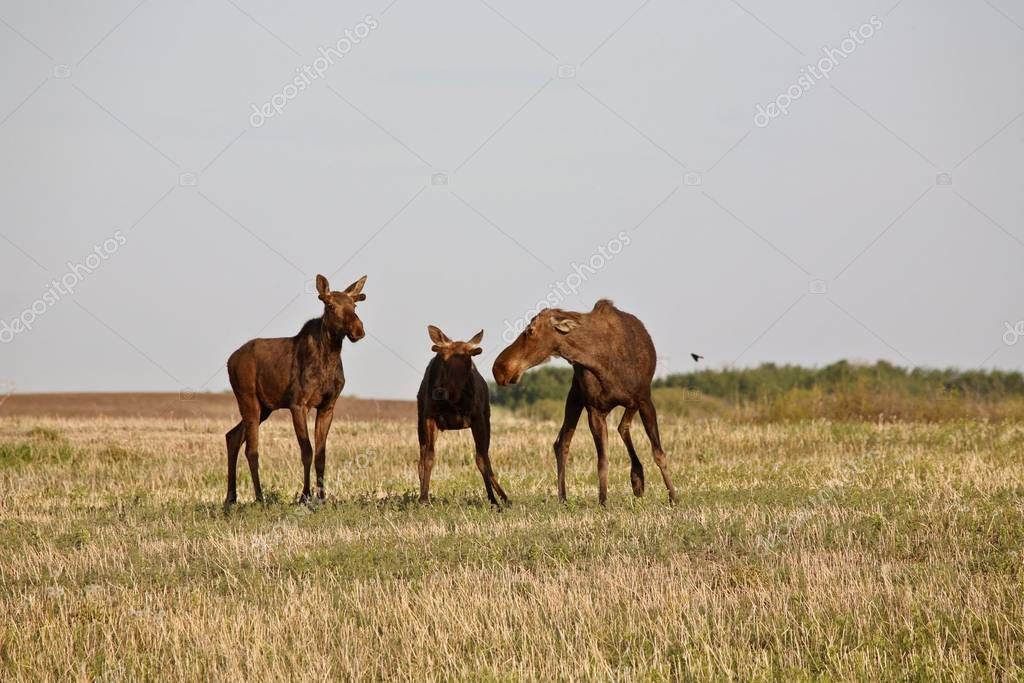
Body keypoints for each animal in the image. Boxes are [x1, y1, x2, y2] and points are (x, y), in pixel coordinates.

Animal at [224, 274, 367, 505]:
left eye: (354, 305)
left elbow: (321, 454)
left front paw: (322, 498)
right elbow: (306, 451)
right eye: (330, 305)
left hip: (265, 408)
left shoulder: (327, 406)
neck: (329, 357)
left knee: (232, 436)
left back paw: (231, 498)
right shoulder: (298, 404)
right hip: (248, 399)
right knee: (252, 449)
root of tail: (229, 361)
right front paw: (304, 496)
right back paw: (259, 498)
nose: (358, 329)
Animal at [417, 326, 509, 506]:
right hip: (420, 423)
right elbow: (429, 457)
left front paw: (496, 499)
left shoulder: (478, 418)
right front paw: (424, 498)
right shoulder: (429, 416)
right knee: (421, 457)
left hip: (487, 417)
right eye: (443, 359)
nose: (446, 393)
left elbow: (482, 459)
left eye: (468, 362)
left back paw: (499, 497)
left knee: (485, 457)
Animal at [492, 300, 676, 506]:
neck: (601, 363)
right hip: (575, 395)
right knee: (562, 442)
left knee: (622, 426)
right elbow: (602, 460)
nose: (499, 368)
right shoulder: (595, 410)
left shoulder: (644, 399)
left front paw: (673, 497)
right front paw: (603, 501)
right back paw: (564, 498)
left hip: (624, 401)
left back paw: (637, 479)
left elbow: (658, 452)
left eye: (530, 330)